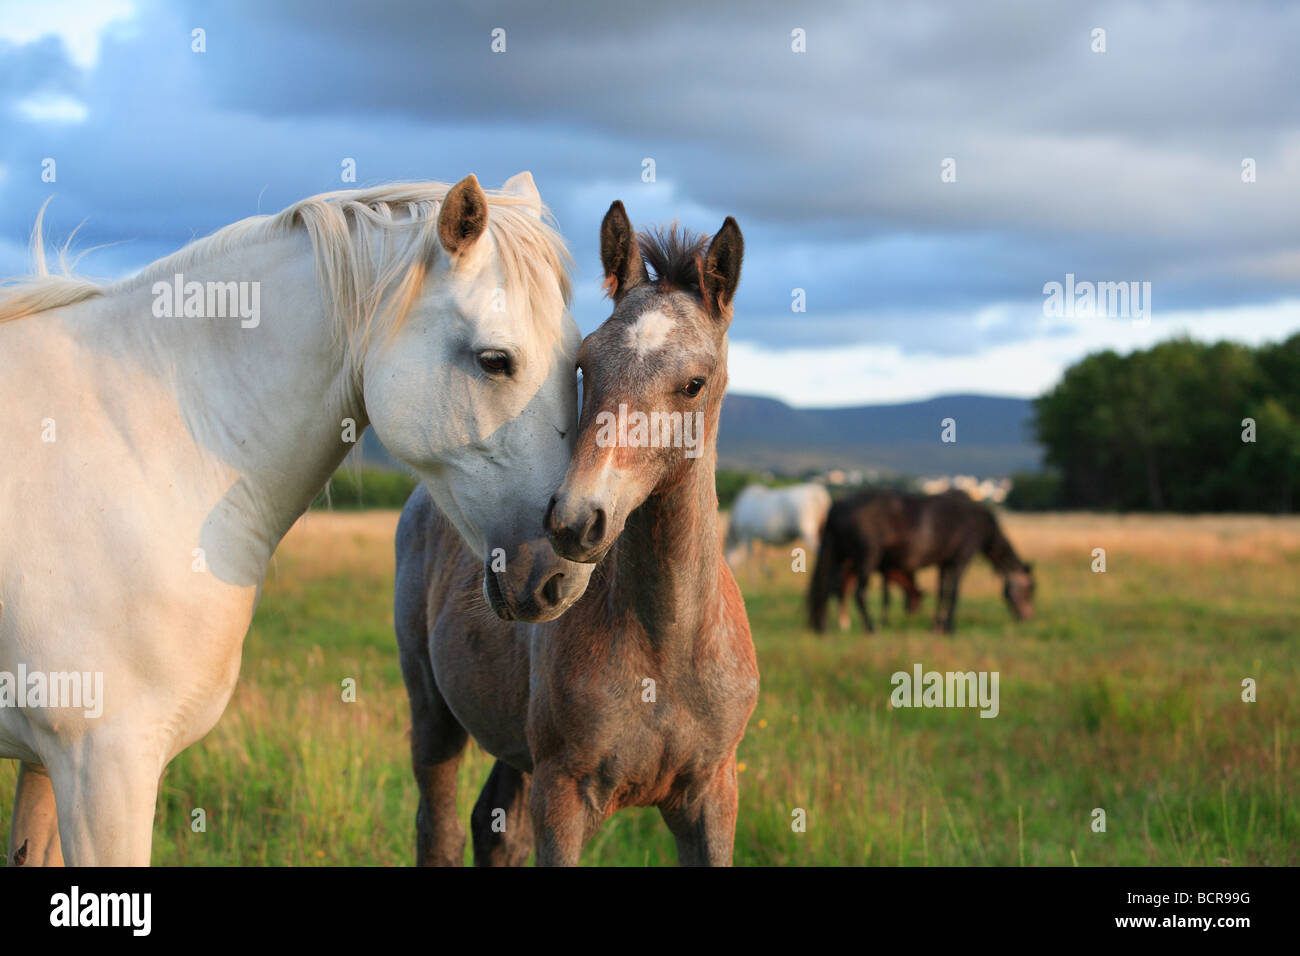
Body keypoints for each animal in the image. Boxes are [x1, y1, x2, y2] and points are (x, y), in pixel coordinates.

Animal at [0, 172, 595, 865]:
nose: (563, 573)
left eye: (576, 362)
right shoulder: (104, 762)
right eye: (495, 360)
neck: (140, 445)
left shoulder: (48, 764)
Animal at [394, 202, 757, 866]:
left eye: (693, 384)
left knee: (496, 825)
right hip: (432, 710)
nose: (573, 521)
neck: (666, 650)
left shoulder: (713, 794)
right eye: (585, 364)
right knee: (440, 827)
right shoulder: (564, 793)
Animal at [809, 490, 924, 633]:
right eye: (916, 601)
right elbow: (886, 595)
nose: (912, 613)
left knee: (835, 588)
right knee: (839, 589)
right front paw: (883, 621)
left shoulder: (884, 570)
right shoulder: (885, 570)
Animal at [824, 489, 1034, 633]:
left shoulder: (943, 563)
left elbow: (942, 592)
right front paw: (949, 627)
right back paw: (857, 625)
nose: (1027, 618)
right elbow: (953, 592)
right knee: (847, 590)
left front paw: (936, 626)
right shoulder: (961, 558)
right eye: (1030, 591)